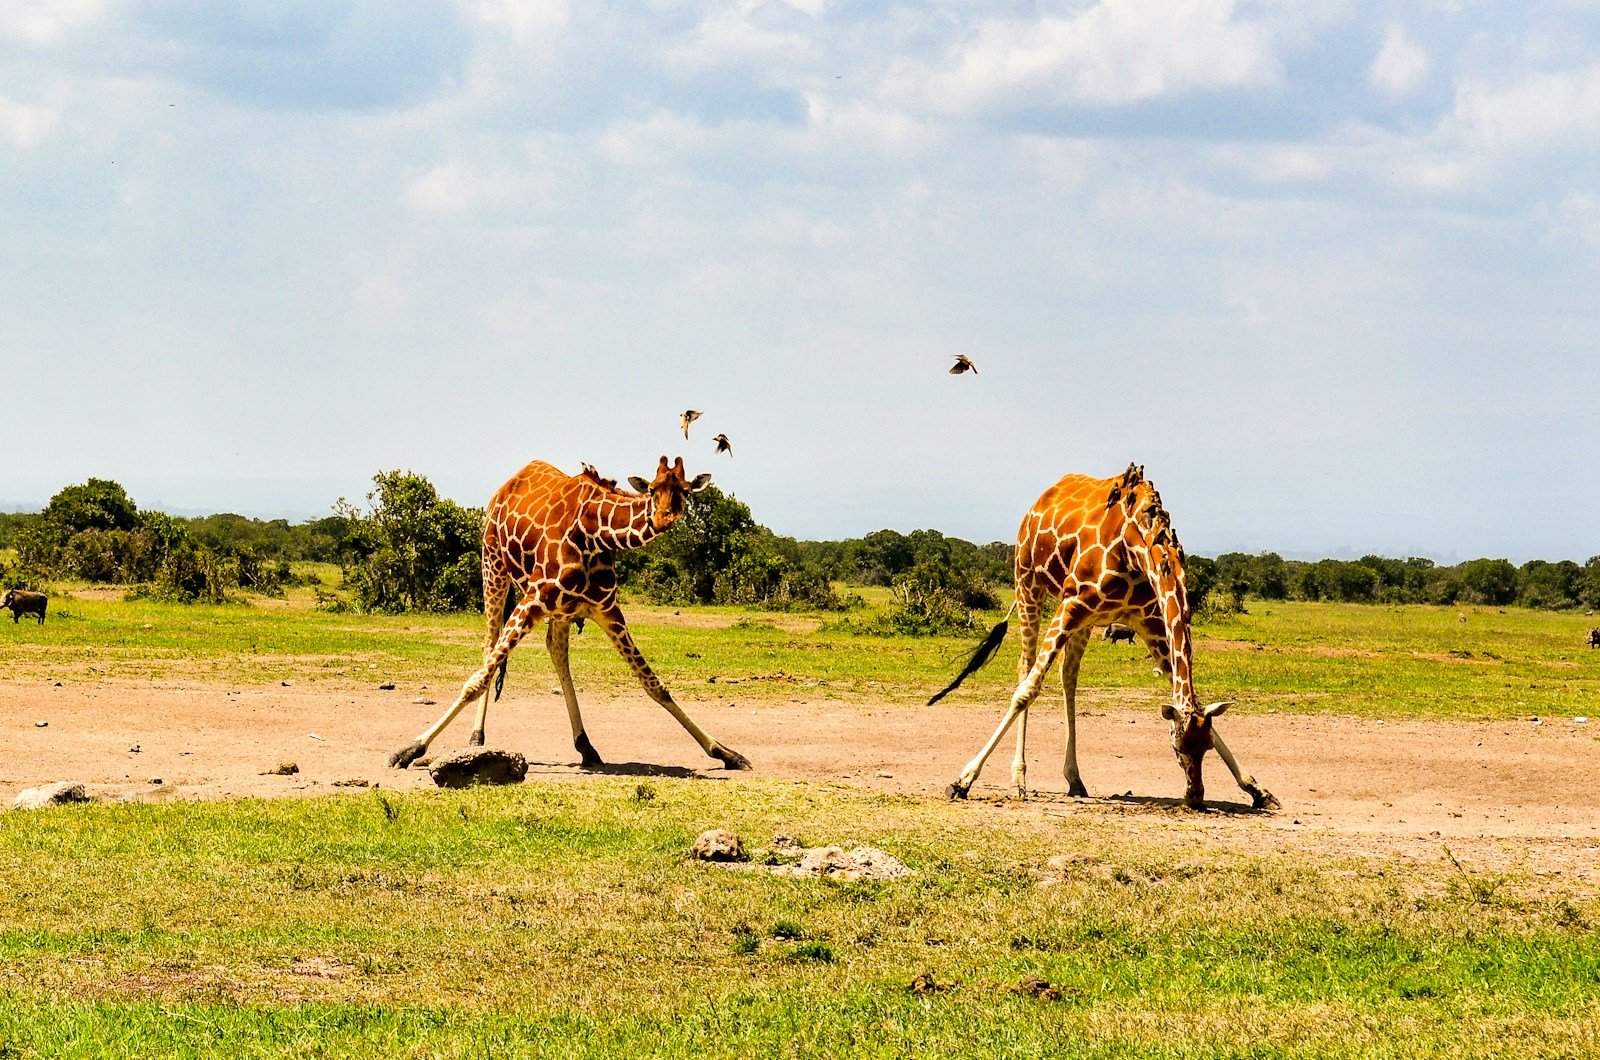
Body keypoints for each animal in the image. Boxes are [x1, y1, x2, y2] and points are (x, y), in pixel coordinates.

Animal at [387, 456, 751, 773]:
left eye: (685, 491)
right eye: (652, 489)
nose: (665, 518)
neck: (596, 534)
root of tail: (505, 487)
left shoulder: (607, 610)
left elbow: (654, 684)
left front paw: (726, 752)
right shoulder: (534, 598)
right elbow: (477, 680)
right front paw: (410, 748)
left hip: (559, 609)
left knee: (556, 650)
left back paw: (586, 746)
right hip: (493, 565)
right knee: (489, 646)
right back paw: (477, 738)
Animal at [933, 464, 1277, 810]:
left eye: (1205, 747)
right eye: (1178, 747)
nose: (1195, 795)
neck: (1139, 545)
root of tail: (1039, 502)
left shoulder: (1149, 622)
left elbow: (1191, 698)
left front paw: (1257, 788)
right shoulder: (1073, 603)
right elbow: (1026, 691)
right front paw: (963, 780)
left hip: (1086, 618)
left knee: (1068, 674)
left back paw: (1074, 779)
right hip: (1028, 584)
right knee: (1025, 667)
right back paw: (1019, 779)